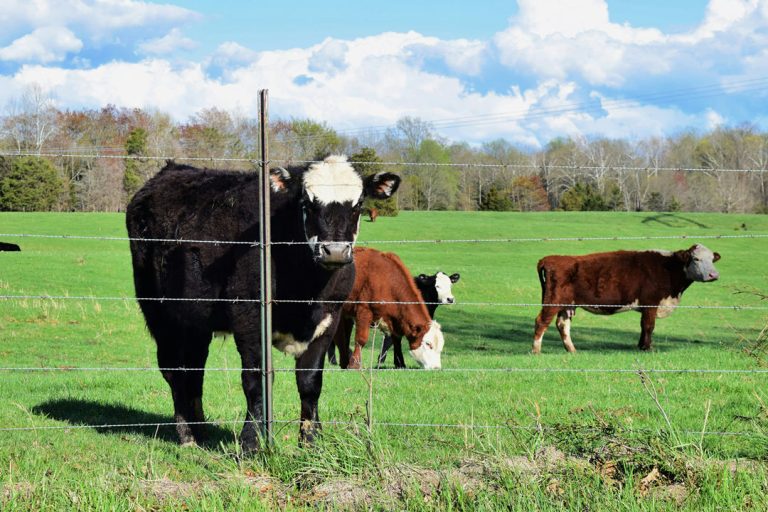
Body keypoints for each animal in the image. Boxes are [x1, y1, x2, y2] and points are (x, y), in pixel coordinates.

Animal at [126, 155, 400, 451]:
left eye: (358, 204)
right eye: (307, 203)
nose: (335, 251)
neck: (306, 292)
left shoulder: (330, 319)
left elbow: (310, 381)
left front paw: (311, 441)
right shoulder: (249, 317)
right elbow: (256, 380)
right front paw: (251, 442)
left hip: (195, 320)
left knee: (194, 369)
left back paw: (201, 429)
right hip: (159, 312)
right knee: (174, 370)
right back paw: (187, 435)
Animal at [533, 244, 721, 353]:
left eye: (712, 259)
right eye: (696, 259)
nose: (714, 275)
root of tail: (551, 258)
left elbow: (643, 326)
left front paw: (640, 346)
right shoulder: (650, 302)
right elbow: (649, 326)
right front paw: (647, 348)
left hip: (567, 304)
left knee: (562, 325)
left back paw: (572, 350)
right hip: (553, 300)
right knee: (541, 321)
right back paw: (536, 350)